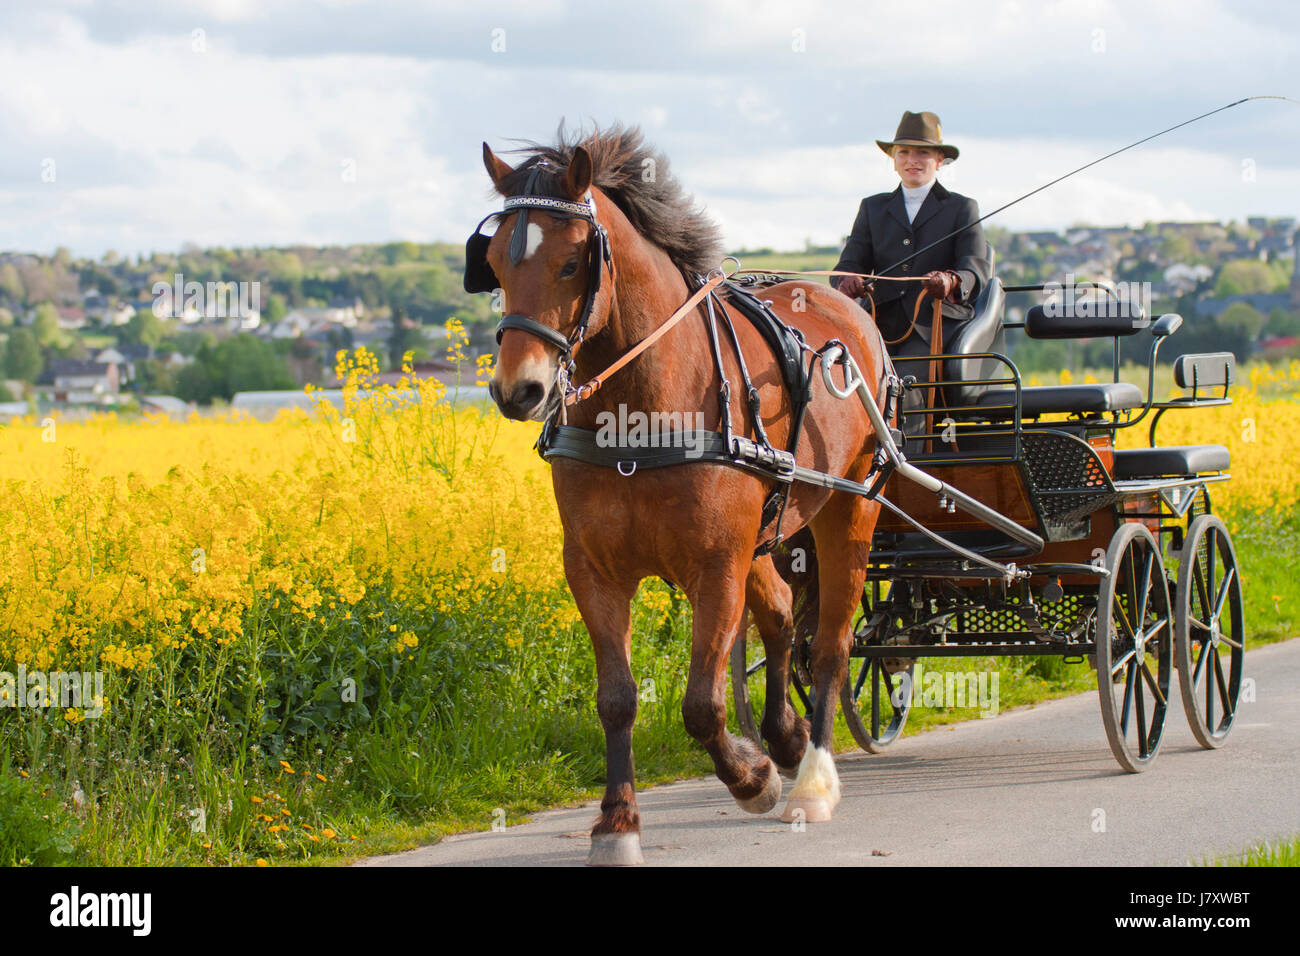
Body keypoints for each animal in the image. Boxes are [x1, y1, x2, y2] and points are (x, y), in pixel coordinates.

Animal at [475, 124, 888, 865]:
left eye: (573, 261)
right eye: (492, 261)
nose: (519, 389)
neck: (640, 409)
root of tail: (850, 309)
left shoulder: (715, 565)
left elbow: (701, 703)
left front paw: (751, 779)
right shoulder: (593, 569)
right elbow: (616, 699)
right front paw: (616, 825)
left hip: (850, 509)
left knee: (832, 645)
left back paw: (811, 779)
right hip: (768, 527)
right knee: (781, 615)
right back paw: (785, 738)